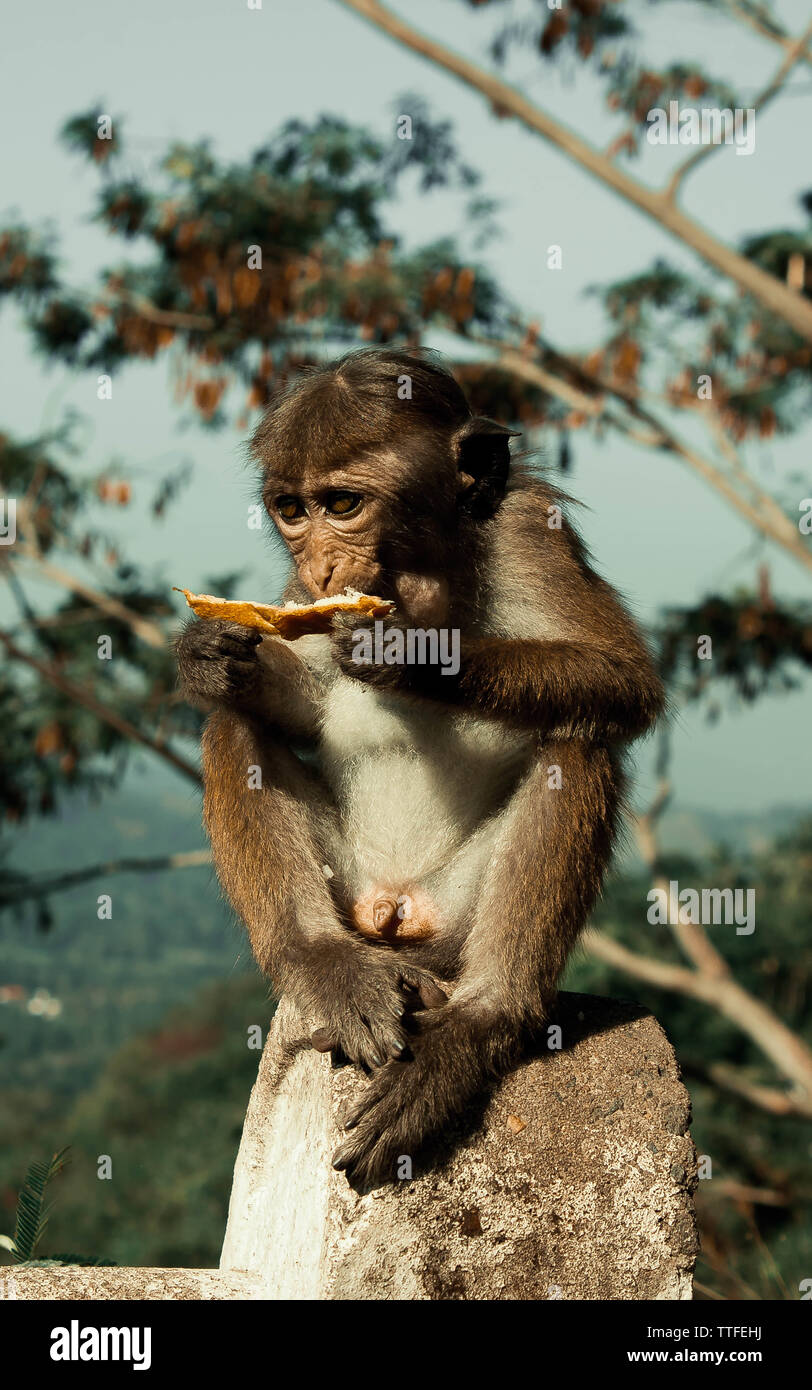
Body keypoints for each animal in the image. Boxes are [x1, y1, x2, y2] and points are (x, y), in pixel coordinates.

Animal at [175, 347, 665, 1186]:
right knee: (233, 727)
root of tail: (394, 911)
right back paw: (324, 963)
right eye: (291, 509)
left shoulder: (529, 528)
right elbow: (295, 702)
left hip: (453, 922)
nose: (320, 563)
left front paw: (411, 652)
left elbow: (624, 679)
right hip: (353, 896)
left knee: (579, 743)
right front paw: (206, 654)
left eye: (342, 503)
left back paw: (478, 1023)